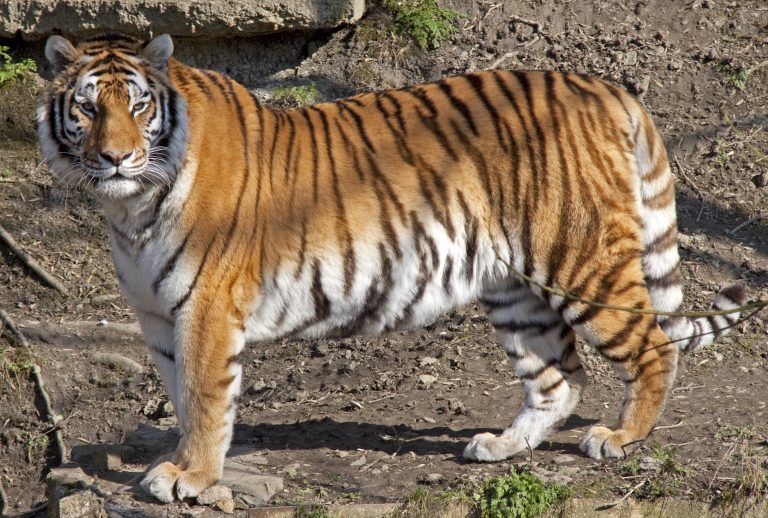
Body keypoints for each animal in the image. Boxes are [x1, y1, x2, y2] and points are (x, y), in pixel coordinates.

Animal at [38, 33, 747, 502]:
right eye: (88, 108)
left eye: (137, 106)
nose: (116, 157)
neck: (130, 209)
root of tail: (603, 87)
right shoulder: (158, 315)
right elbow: (183, 397)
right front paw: (181, 463)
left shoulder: (207, 308)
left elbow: (206, 398)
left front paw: (192, 477)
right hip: (514, 288)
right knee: (560, 377)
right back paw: (500, 447)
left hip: (580, 257)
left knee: (653, 345)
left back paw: (621, 437)